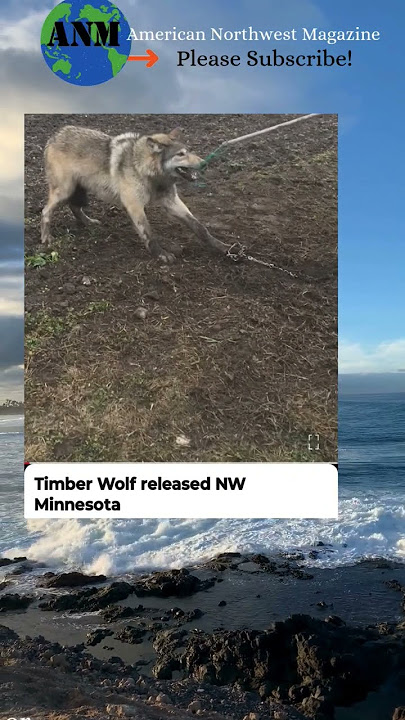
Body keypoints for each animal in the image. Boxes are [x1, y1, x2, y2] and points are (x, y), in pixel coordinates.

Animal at [40, 125, 228, 263]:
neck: (147, 172)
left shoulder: (172, 202)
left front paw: (224, 247)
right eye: (180, 154)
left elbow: (200, 227)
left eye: (189, 151)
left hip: (77, 189)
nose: (204, 163)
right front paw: (162, 255)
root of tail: (53, 137)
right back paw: (46, 239)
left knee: (74, 206)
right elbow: (149, 234)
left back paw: (89, 222)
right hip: (64, 190)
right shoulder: (135, 206)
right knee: (45, 212)